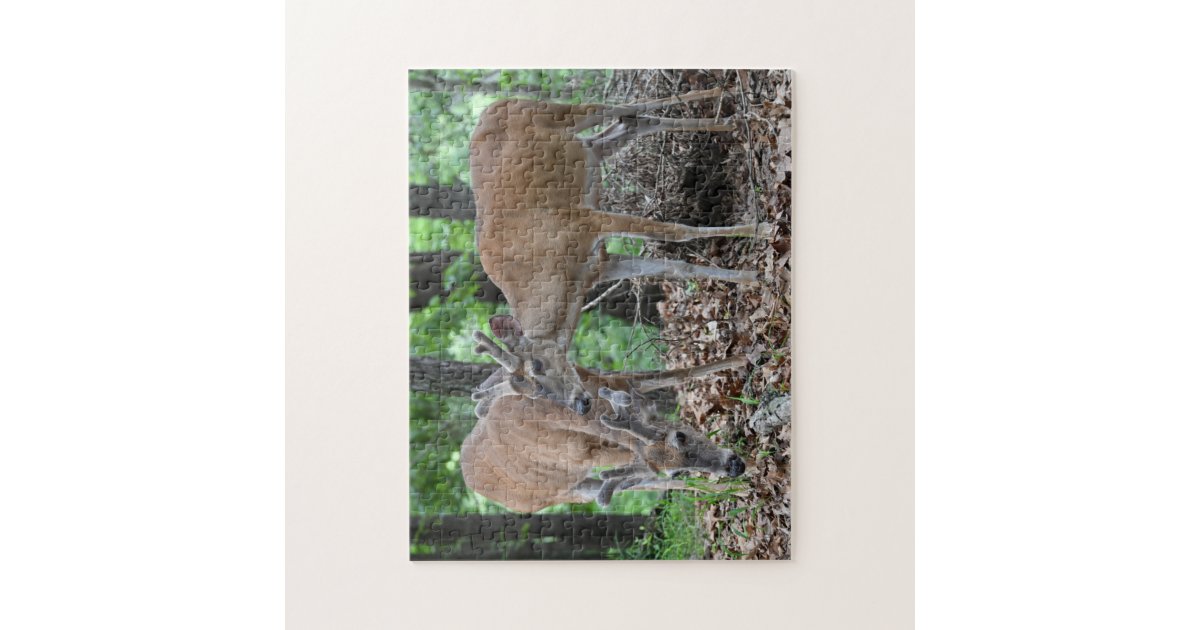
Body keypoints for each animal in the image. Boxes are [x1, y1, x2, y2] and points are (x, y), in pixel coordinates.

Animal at [461, 354, 748, 513]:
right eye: (680, 436)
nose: (735, 466)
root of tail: (470, 480)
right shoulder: (597, 453)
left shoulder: (613, 380)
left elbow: (678, 374)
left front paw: (743, 357)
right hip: (564, 492)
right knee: (629, 486)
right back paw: (740, 491)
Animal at [468, 88, 773, 417]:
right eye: (537, 393)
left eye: (537, 365)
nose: (580, 405)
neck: (557, 279)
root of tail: (489, 109)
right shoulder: (600, 265)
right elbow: (678, 268)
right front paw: (752, 275)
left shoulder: (582, 220)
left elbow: (675, 232)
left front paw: (763, 229)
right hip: (590, 150)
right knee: (630, 125)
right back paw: (729, 120)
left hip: (553, 112)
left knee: (617, 108)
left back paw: (724, 102)